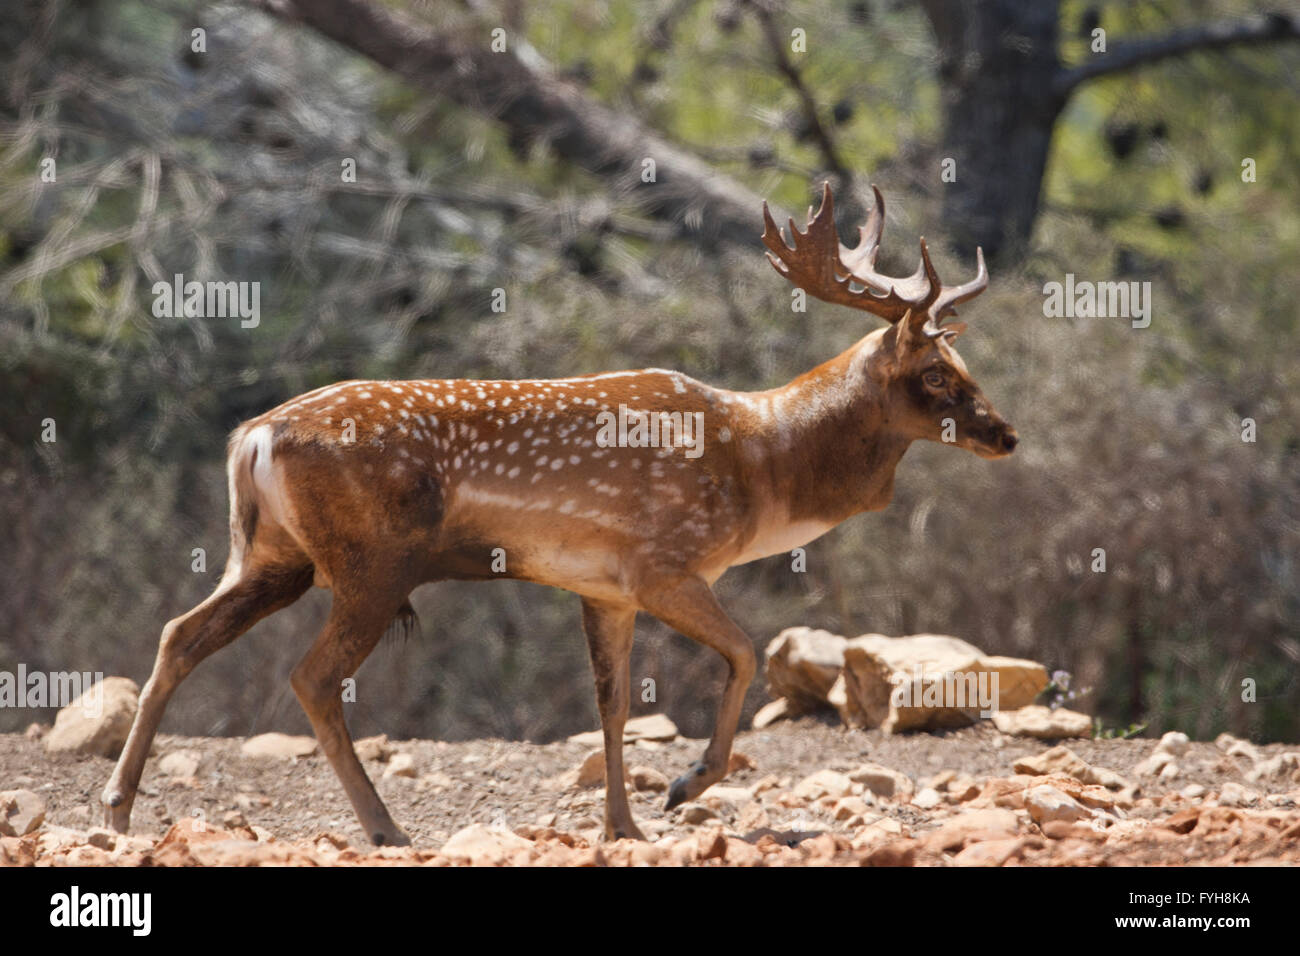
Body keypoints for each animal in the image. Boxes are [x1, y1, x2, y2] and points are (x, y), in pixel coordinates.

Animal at [102, 182, 1017, 846]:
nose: (1006, 433)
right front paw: (684, 787)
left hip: (270, 555)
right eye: (936, 374)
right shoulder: (663, 563)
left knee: (180, 633)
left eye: (966, 362)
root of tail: (251, 435)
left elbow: (609, 703)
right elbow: (744, 654)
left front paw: (623, 824)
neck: (762, 465)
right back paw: (385, 828)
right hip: (370, 563)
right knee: (312, 676)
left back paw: (116, 806)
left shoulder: (603, 587)